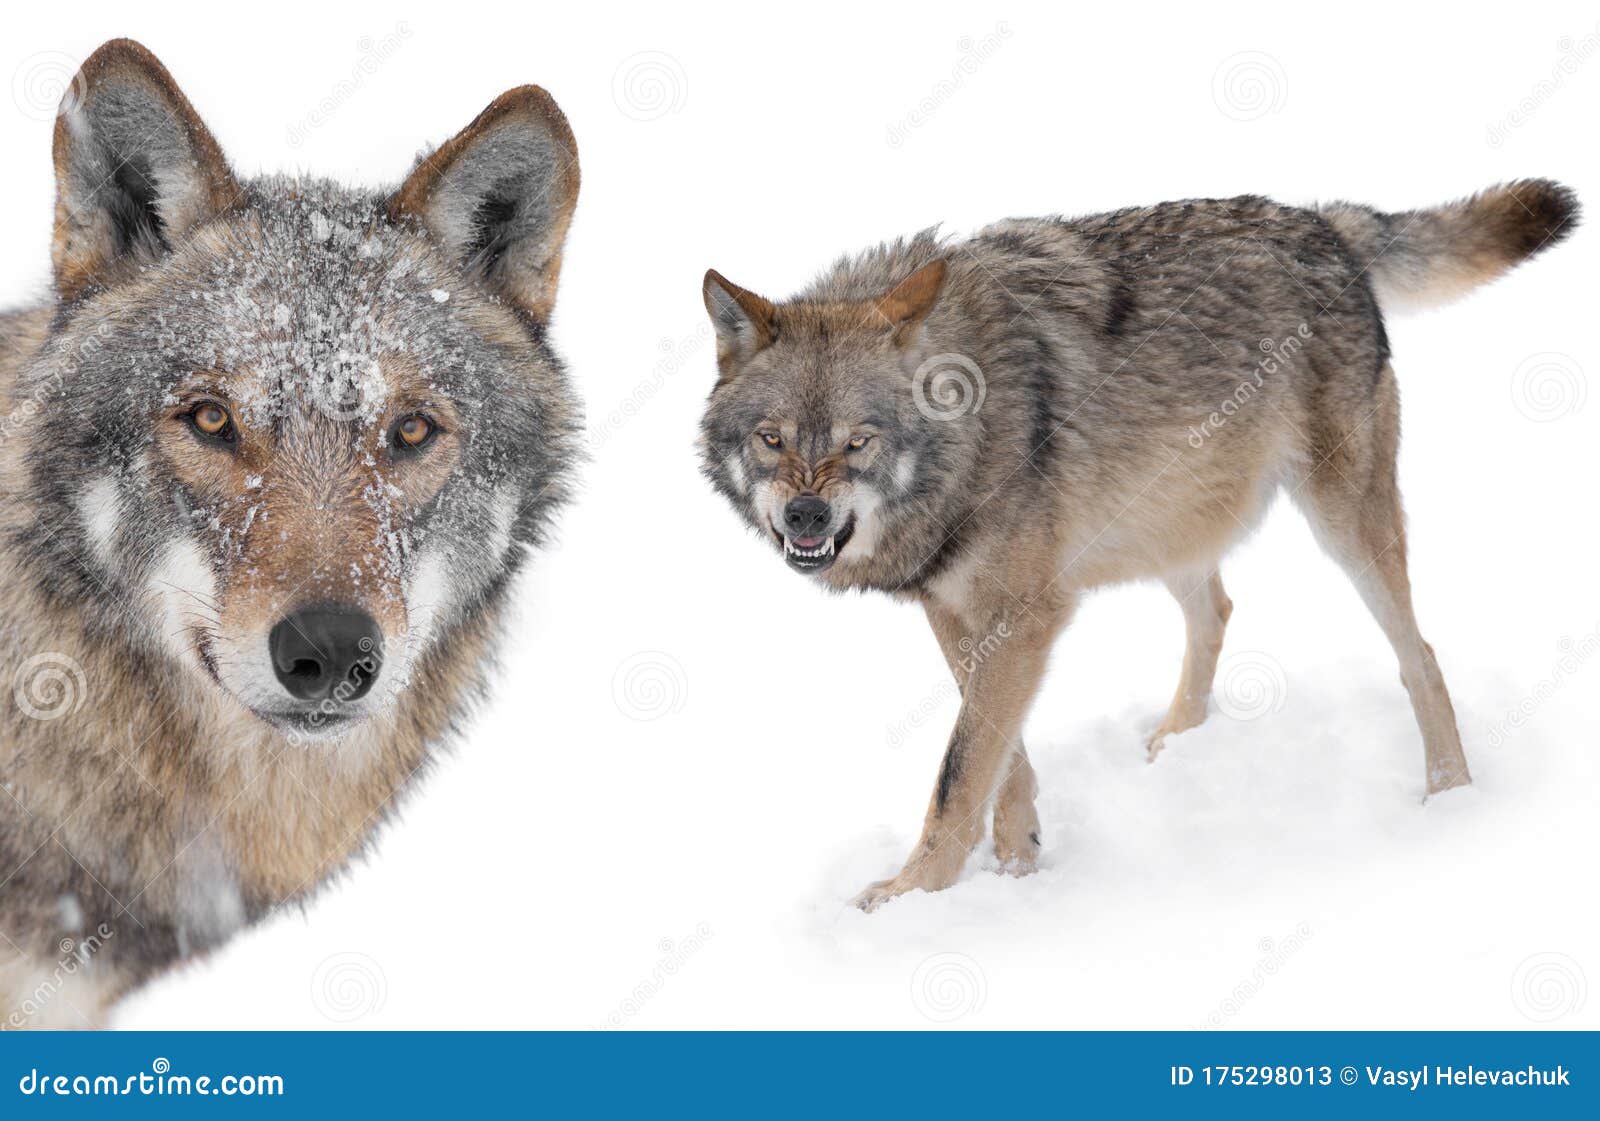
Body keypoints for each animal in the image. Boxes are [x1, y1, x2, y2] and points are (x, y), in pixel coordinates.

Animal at [698, 180, 1577, 911]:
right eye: (773, 439)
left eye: (858, 441)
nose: (806, 517)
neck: (968, 422)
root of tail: (1322, 221)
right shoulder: (959, 612)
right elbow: (999, 755)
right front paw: (1017, 864)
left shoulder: (1027, 614)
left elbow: (960, 769)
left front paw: (913, 895)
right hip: (1164, 520)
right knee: (1218, 606)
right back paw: (1176, 742)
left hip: (1341, 521)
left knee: (1418, 652)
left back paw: (1449, 794)